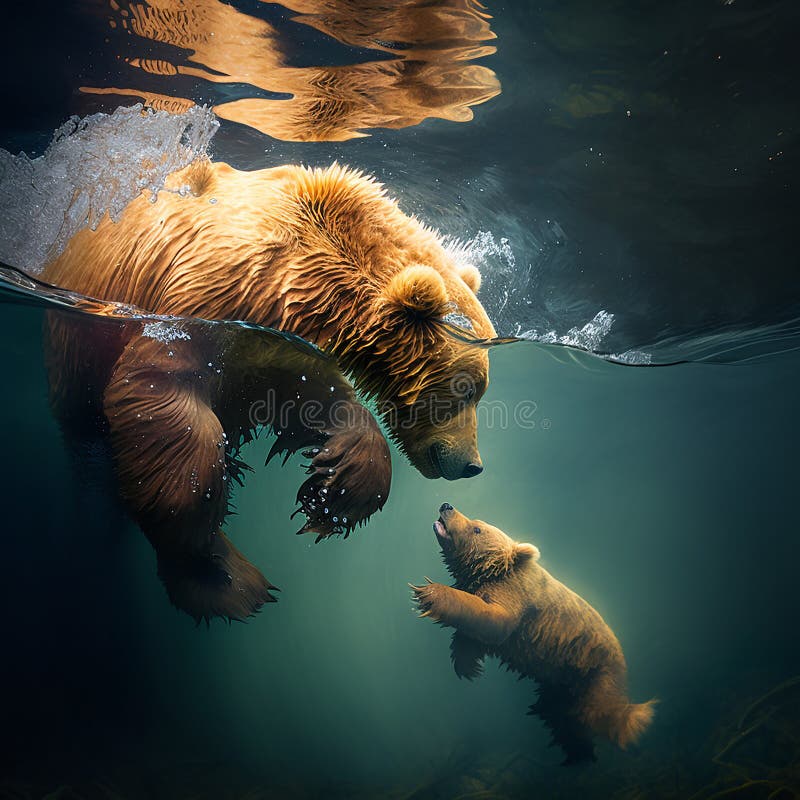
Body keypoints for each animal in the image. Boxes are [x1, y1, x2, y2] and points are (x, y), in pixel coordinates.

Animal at [41, 160, 496, 621]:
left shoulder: (280, 344)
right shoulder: (200, 303)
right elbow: (165, 402)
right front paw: (214, 572)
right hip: (77, 361)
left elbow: (317, 404)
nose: (473, 465)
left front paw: (332, 495)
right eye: (467, 389)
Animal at [411, 503, 655, 764]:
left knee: (600, 710)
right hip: (561, 681)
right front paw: (467, 665)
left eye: (477, 528)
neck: (494, 571)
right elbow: (475, 634)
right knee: (560, 716)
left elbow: (493, 620)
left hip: (596, 668)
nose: (446, 506)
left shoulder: (516, 594)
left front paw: (428, 592)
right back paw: (577, 753)